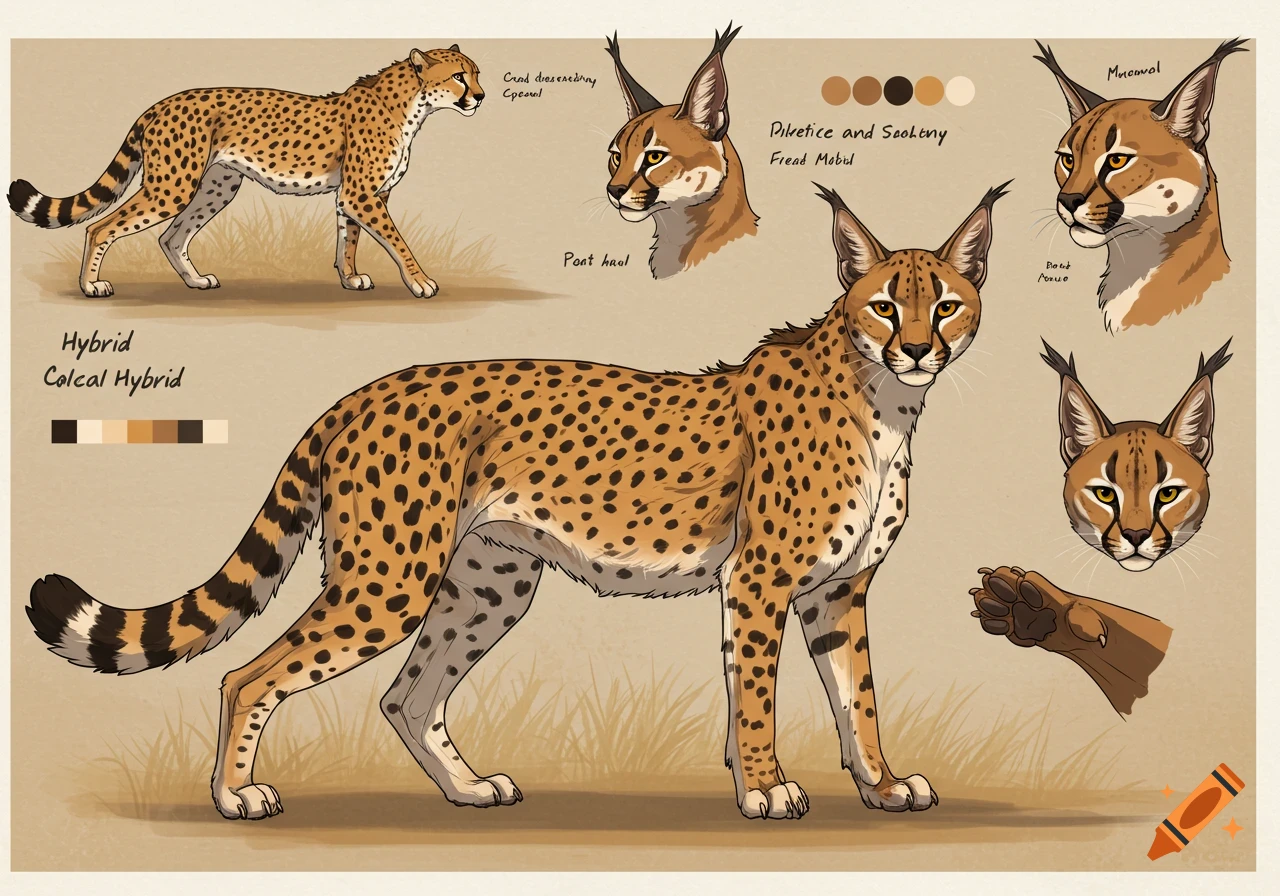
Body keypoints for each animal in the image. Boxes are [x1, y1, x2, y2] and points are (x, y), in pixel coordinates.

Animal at [8, 46, 484, 298]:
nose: (480, 96)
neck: (413, 104)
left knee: (171, 236)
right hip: (172, 186)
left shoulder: (357, 195)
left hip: (216, 185)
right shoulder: (362, 194)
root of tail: (160, 102)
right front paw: (420, 281)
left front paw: (350, 278)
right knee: (101, 226)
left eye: (477, 74)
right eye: (459, 77)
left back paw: (196, 280)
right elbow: (398, 242)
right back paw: (92, 286)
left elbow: (348, 241)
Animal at [27, 179, 1009, 822]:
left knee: (406, 695)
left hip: (485, 583)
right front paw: (765, 786)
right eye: (883, 305)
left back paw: (466, 789)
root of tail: (365, 389)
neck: (885, 398)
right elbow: (760, 693)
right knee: (251, 673)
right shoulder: (760, 581)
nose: (918, 348)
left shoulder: (835, 593)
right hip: (391, 581)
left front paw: (881, 783)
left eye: (947, 304)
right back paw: (236, 793)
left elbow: (859, 696)